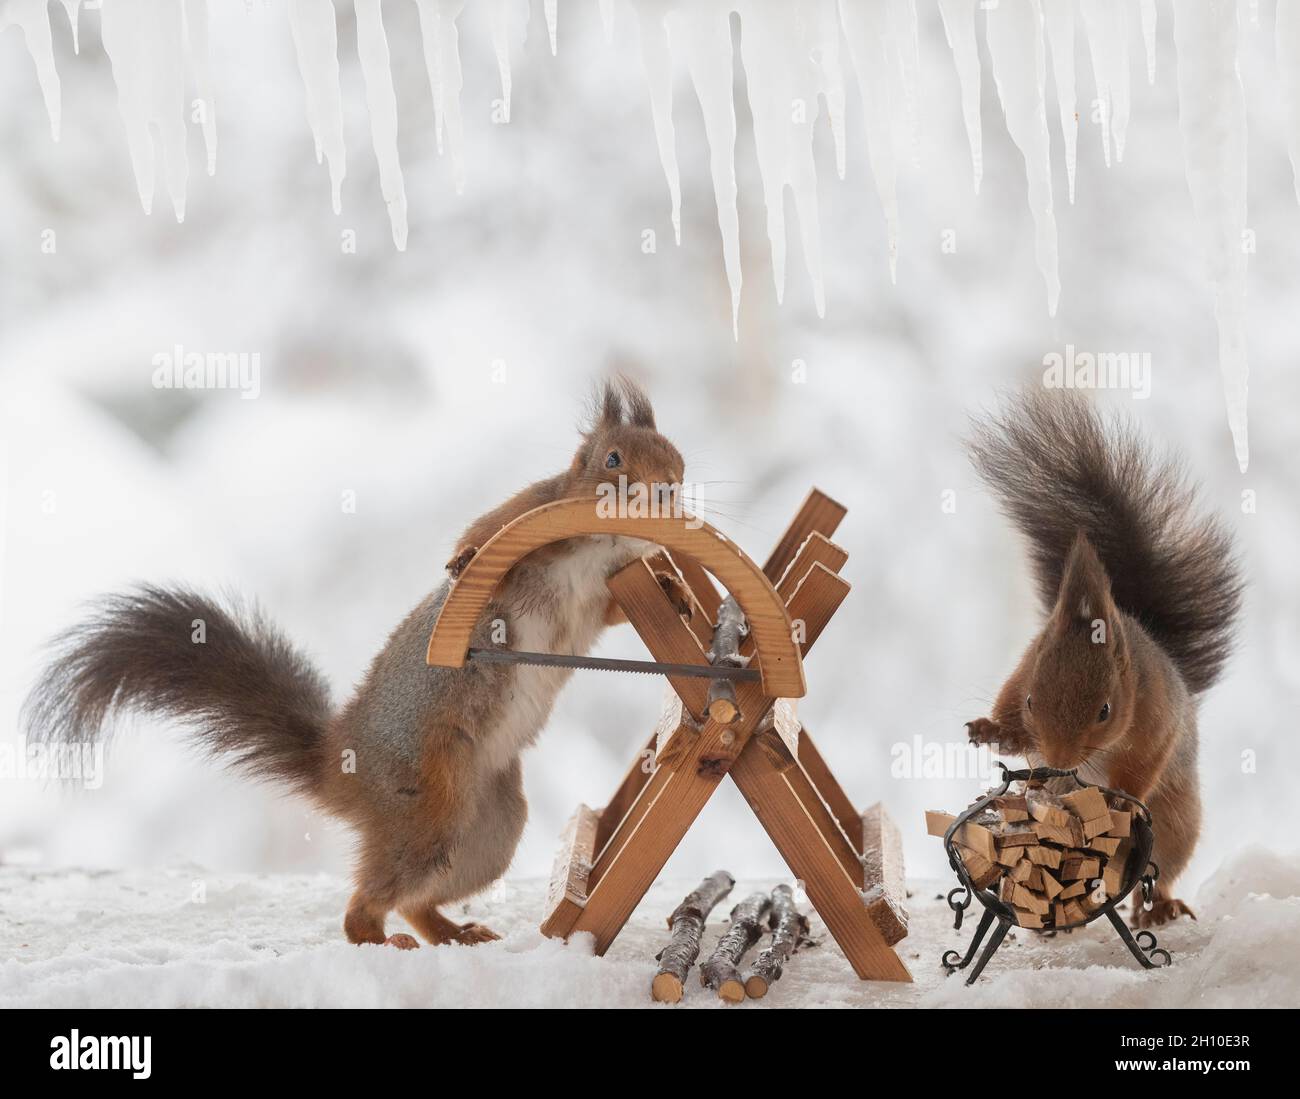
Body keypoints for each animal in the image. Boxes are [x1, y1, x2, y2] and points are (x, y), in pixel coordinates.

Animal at [24, 378, 691, 948]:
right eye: (612, 460)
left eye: (679, 461)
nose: (666, 488)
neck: (603, 544)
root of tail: (343, 765)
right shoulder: (529, 514)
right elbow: (485, 534)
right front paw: (462, 560)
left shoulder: (603, 593)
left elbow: (619, 605)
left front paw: (674, 588)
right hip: (424, 809)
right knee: (367, 905)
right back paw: (379, 937)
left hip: (490, 827)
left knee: (418, 900)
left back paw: (452, 932)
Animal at [964, 390, 1243, 928]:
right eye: (1031, 702)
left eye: (1105, 711)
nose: (1056, 762)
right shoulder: (1022, 670)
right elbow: (1006, 714)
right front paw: (993, 731)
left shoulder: (1157, 722)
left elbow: (1142, 765)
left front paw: (1118, 796)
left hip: (1176, 823)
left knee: (1159, 872)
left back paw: (1159, 907)